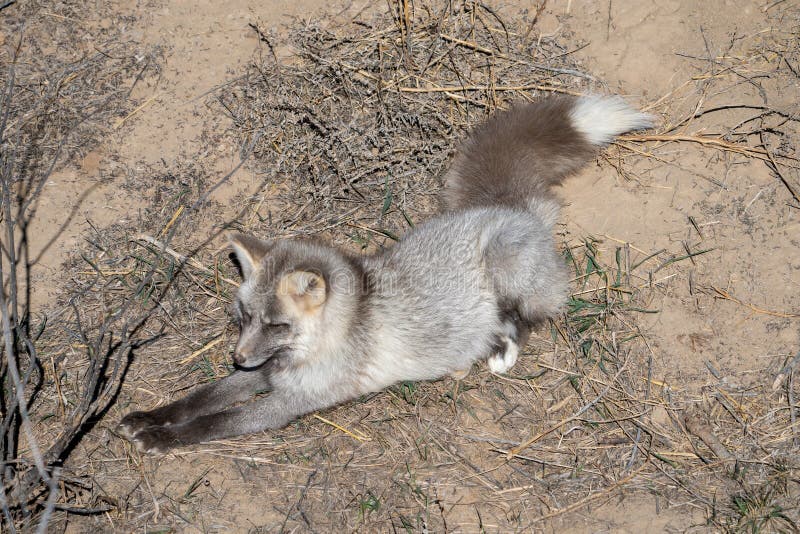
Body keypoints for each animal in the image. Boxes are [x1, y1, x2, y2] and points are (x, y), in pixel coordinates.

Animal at [119, 95, 652, 453]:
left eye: (277, 324)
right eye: (244, 317)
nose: (238, 355)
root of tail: (506, 207)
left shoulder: (284, 405)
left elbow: (211, 424)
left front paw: (159, 437)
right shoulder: (265, 376)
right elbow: (199, 398)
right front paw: (148, 417)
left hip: (504, 266)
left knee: (526, 317)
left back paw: (495, 352)